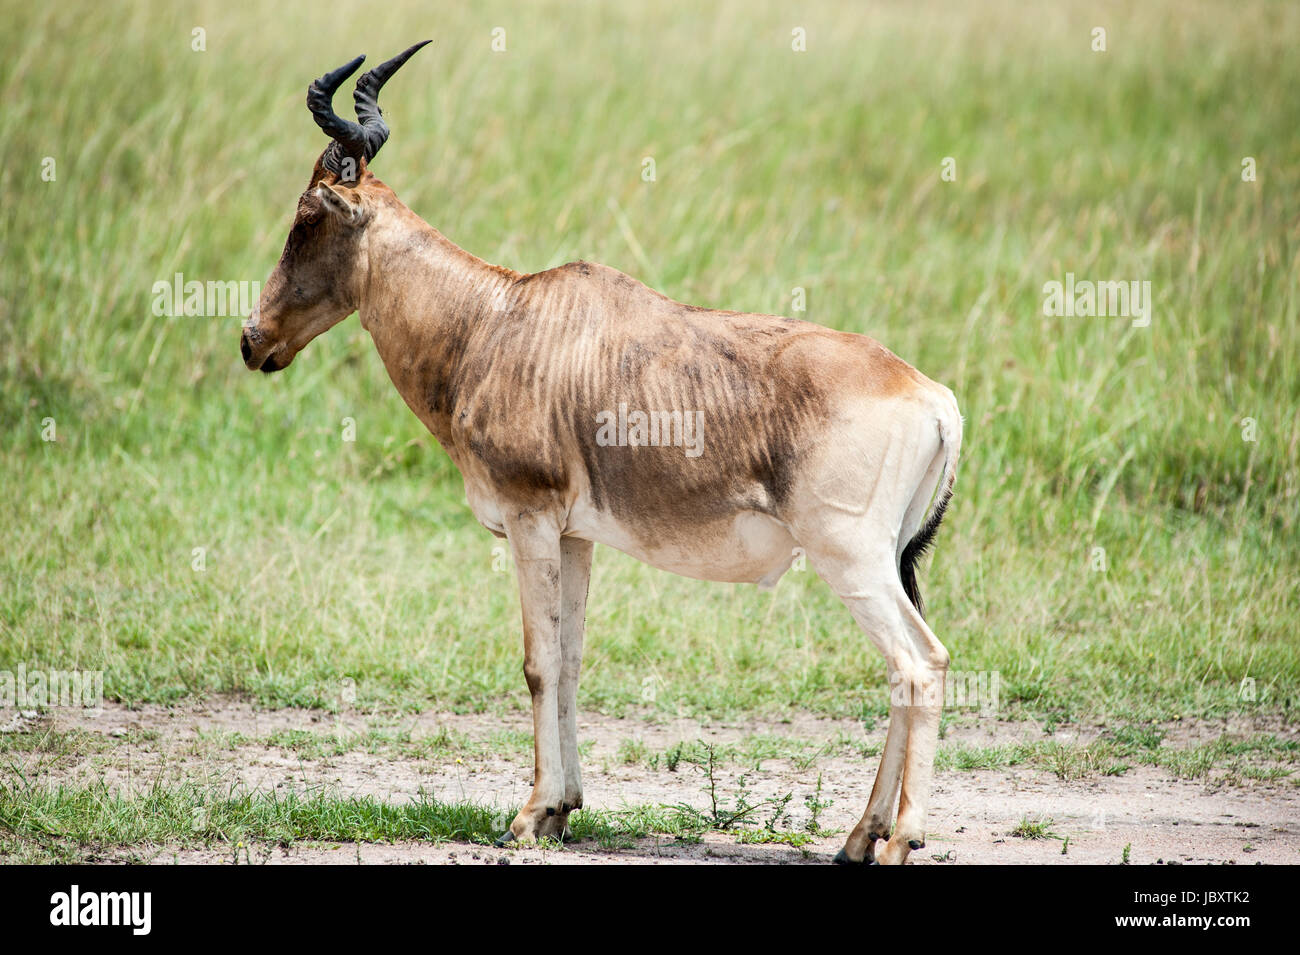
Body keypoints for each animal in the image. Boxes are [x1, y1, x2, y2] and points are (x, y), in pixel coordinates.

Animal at [241, 42, 963, 865]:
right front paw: (563, 809)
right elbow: (572, 658)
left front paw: (527, 816)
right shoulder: (575, 534)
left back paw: (900, 839)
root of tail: (931, 395)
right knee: (900, 673)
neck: (497, 319)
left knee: (919, 665)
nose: (253, 341)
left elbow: (536, 662)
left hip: (851, 557)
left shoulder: (527, 519)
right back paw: (858, 836)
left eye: (306, 216)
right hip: (888, 560)